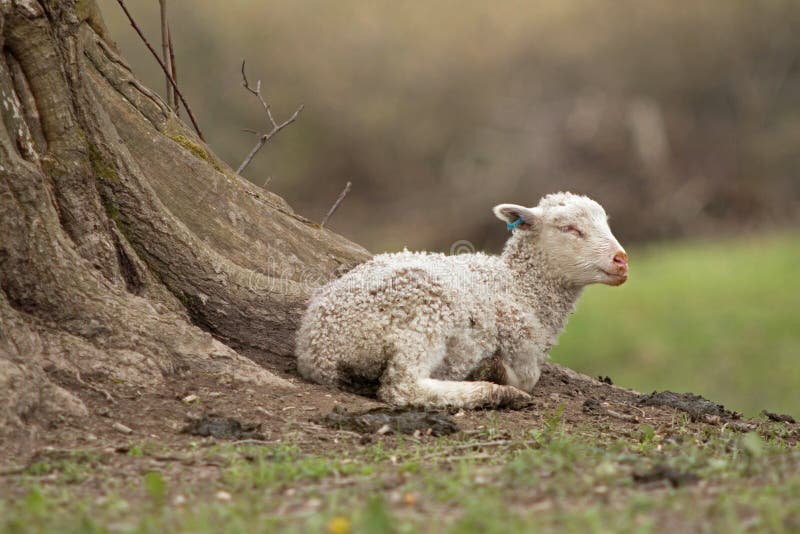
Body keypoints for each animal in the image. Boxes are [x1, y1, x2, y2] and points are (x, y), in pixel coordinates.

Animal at [296, 192, 628, 409]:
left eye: (606, 223)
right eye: (569, 229)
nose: (622, 259)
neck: (520, 287)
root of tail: (317, 344)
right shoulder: (521, 347)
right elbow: (528, 377)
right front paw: (497, 373)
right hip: (422, 317)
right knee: (403, 387)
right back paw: (495, 392)